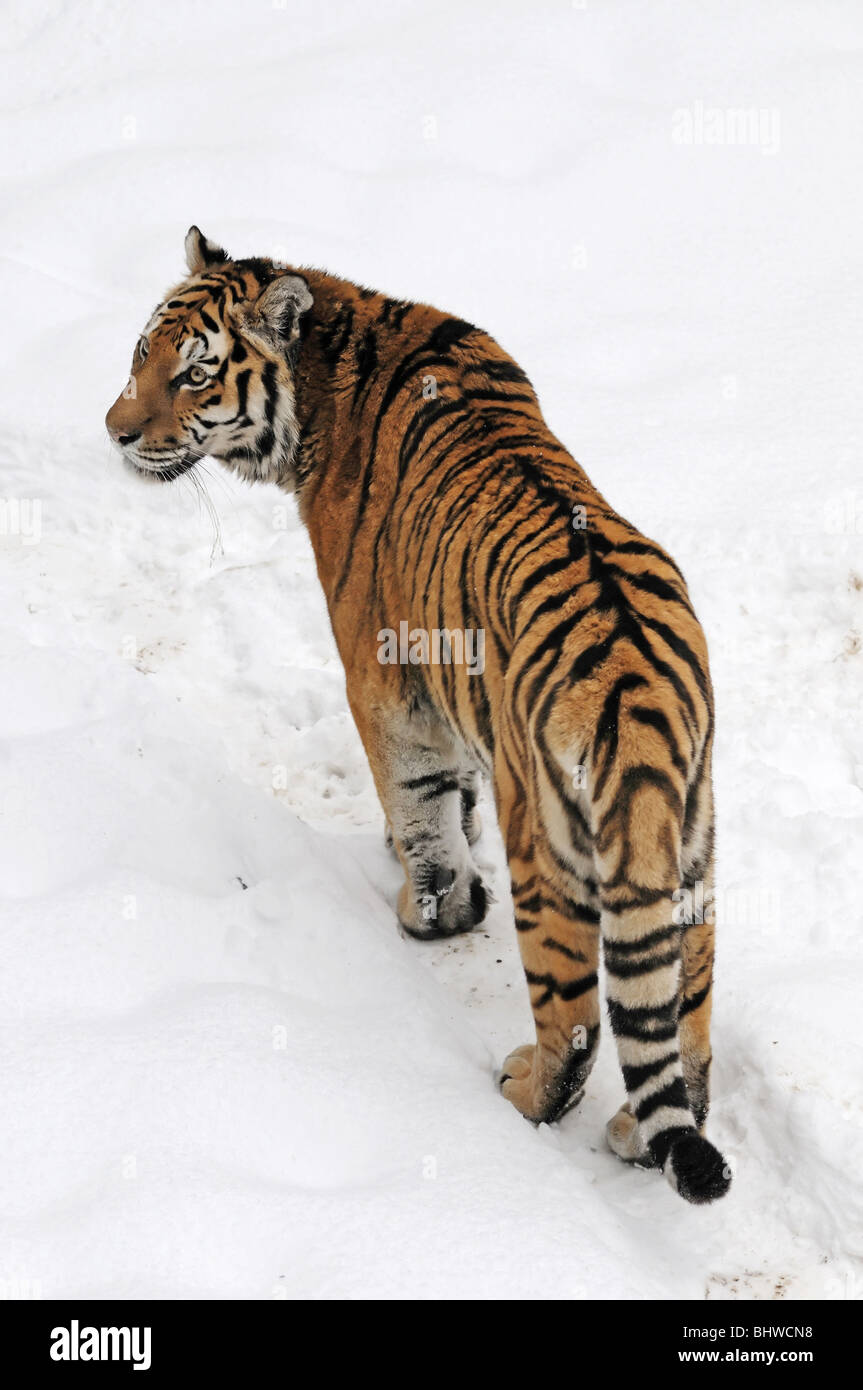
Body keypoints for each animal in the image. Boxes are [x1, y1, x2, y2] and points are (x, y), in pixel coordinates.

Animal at [105, 226, 730, 1204]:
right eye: (141, 356)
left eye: (195, 375)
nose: (116, 431)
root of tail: (634, 689)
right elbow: (447, 801)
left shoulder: (381, 678)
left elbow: (418, 800)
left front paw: (432, 907)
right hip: (688, 846)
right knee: (681, 1027)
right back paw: (639, 1136)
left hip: (550, 850)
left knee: (579, 1023)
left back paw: (524, 1090)